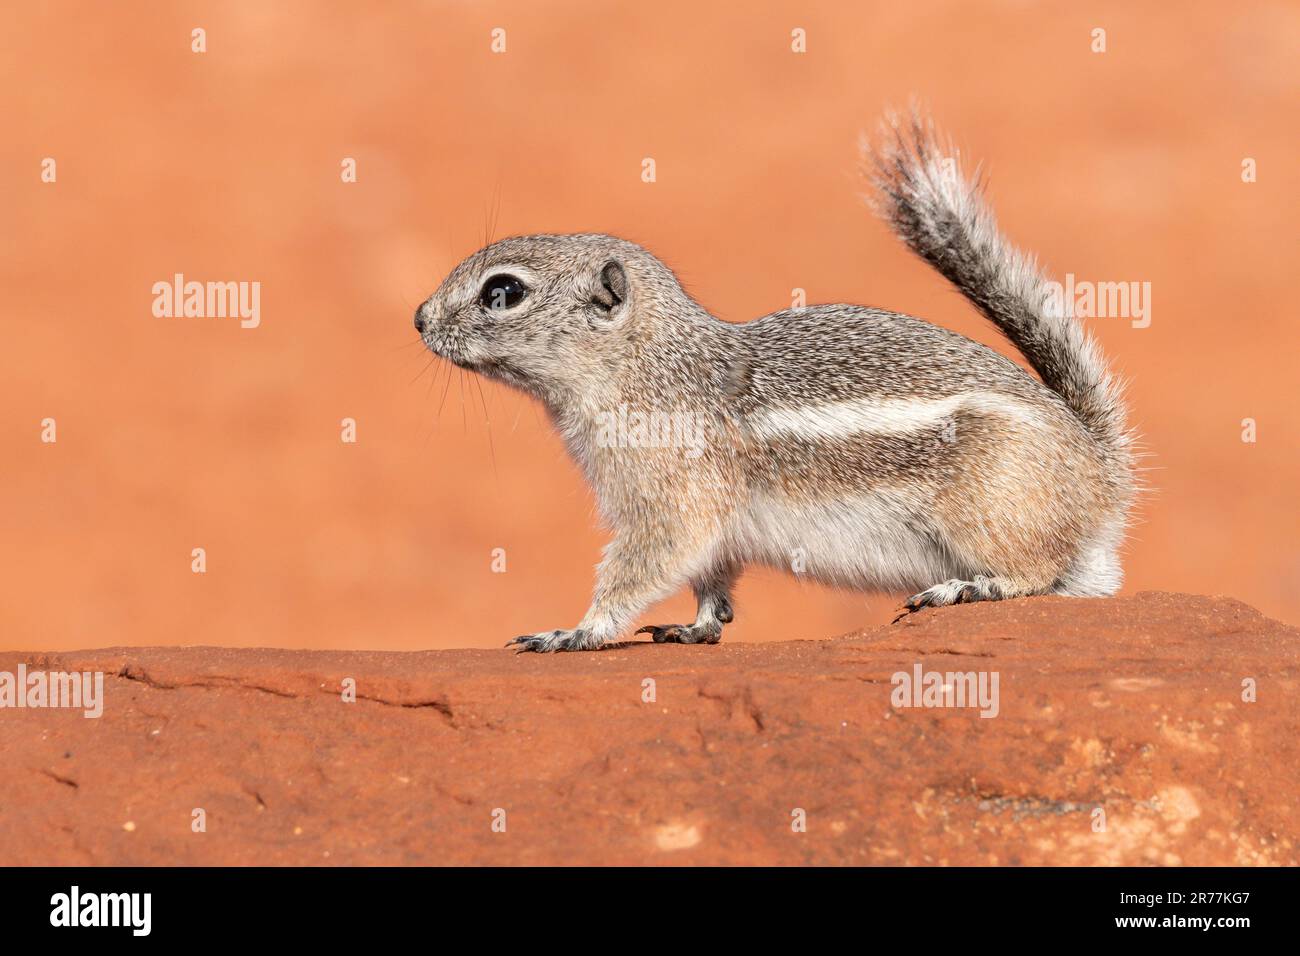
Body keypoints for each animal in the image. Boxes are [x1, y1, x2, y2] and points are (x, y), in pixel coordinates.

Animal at [414, 110, 1137, 652]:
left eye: (503, 292)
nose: (418, 319)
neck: (650, 367)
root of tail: (1100, 472)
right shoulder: (713, 526)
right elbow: (712, 582)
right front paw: (697, 626)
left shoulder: (671, 504)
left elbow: (644, 565)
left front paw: (574, 631)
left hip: (988, 513)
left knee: (1034, 573)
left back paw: (966, 587)